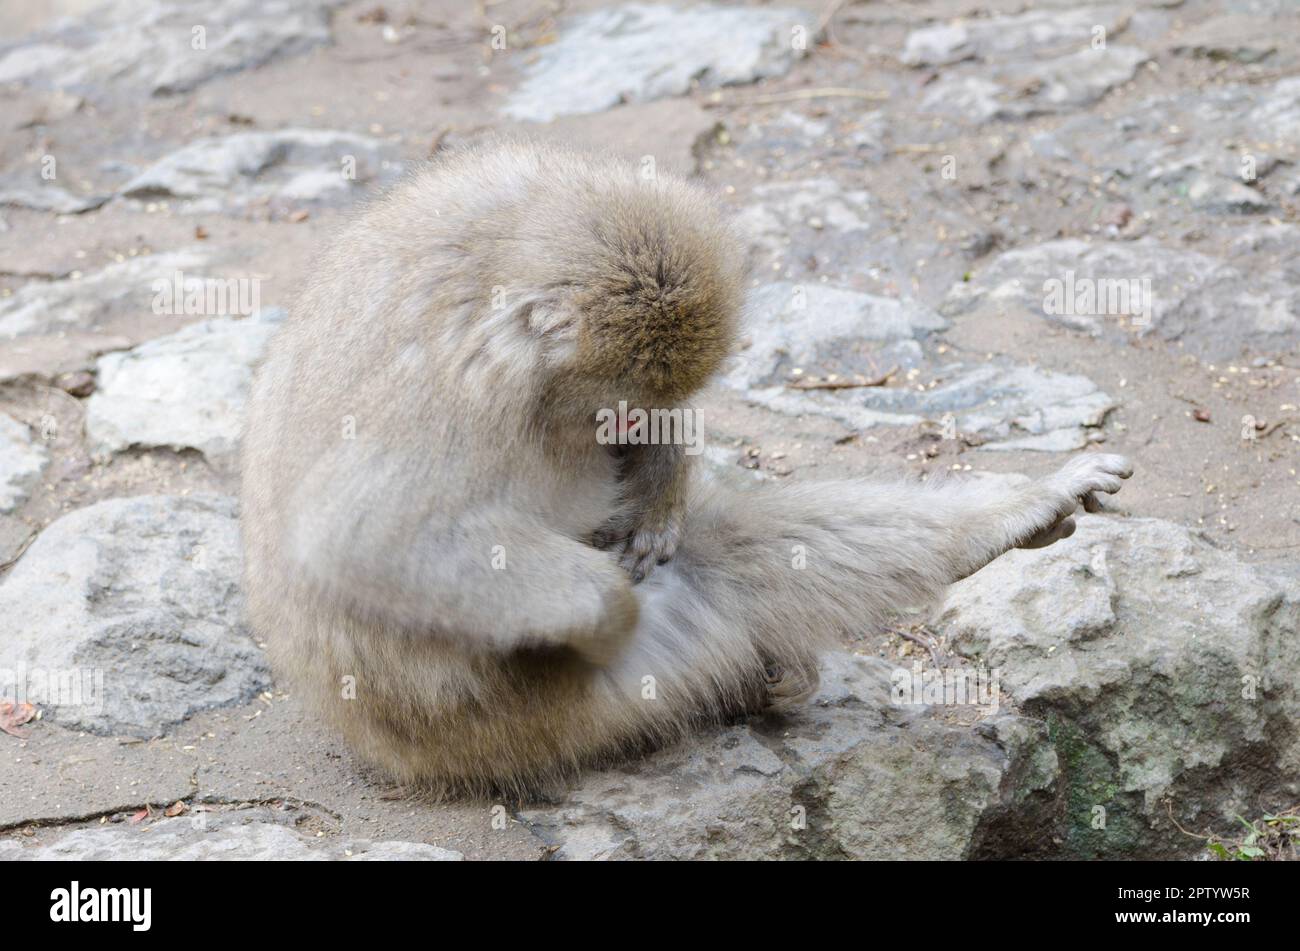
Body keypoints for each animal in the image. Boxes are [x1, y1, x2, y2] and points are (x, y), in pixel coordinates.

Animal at [239, 140, 1133, 798]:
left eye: (642, 409)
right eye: (615, 407)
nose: (634, 432)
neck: (500, 262)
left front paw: (662, 484)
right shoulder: (456, 387)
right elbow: (365, 539)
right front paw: (606, 608)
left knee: (743, 557)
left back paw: (1007, 515)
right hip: (537, 712)